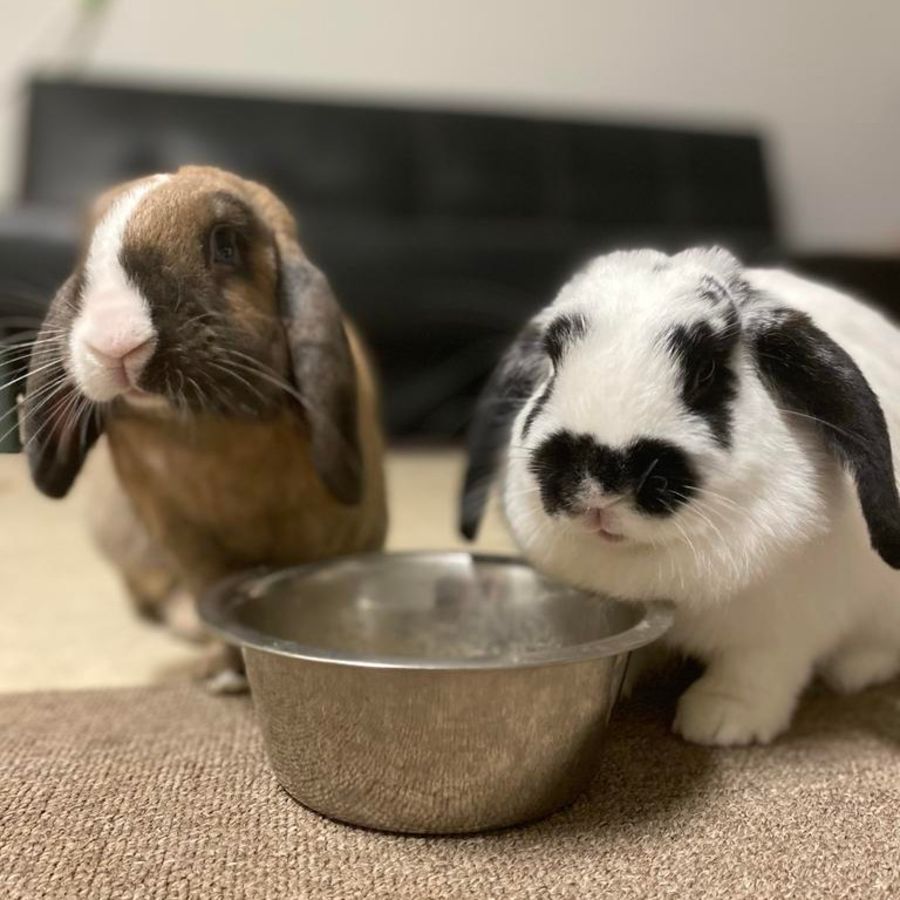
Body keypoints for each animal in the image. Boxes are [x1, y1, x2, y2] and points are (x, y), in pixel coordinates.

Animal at [22, 166, 388, 686]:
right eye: (85, 251)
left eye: (226, 245)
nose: (114, 341)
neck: (207, 435)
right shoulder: (190, 545)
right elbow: (210, 601)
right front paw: (221, 671)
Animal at [460, 246, 900, 746]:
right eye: (552, 366)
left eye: (705, 372)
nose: (595, 481)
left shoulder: (783, 628)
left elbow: (756, 670)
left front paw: (720, 723)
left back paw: (853, 670)